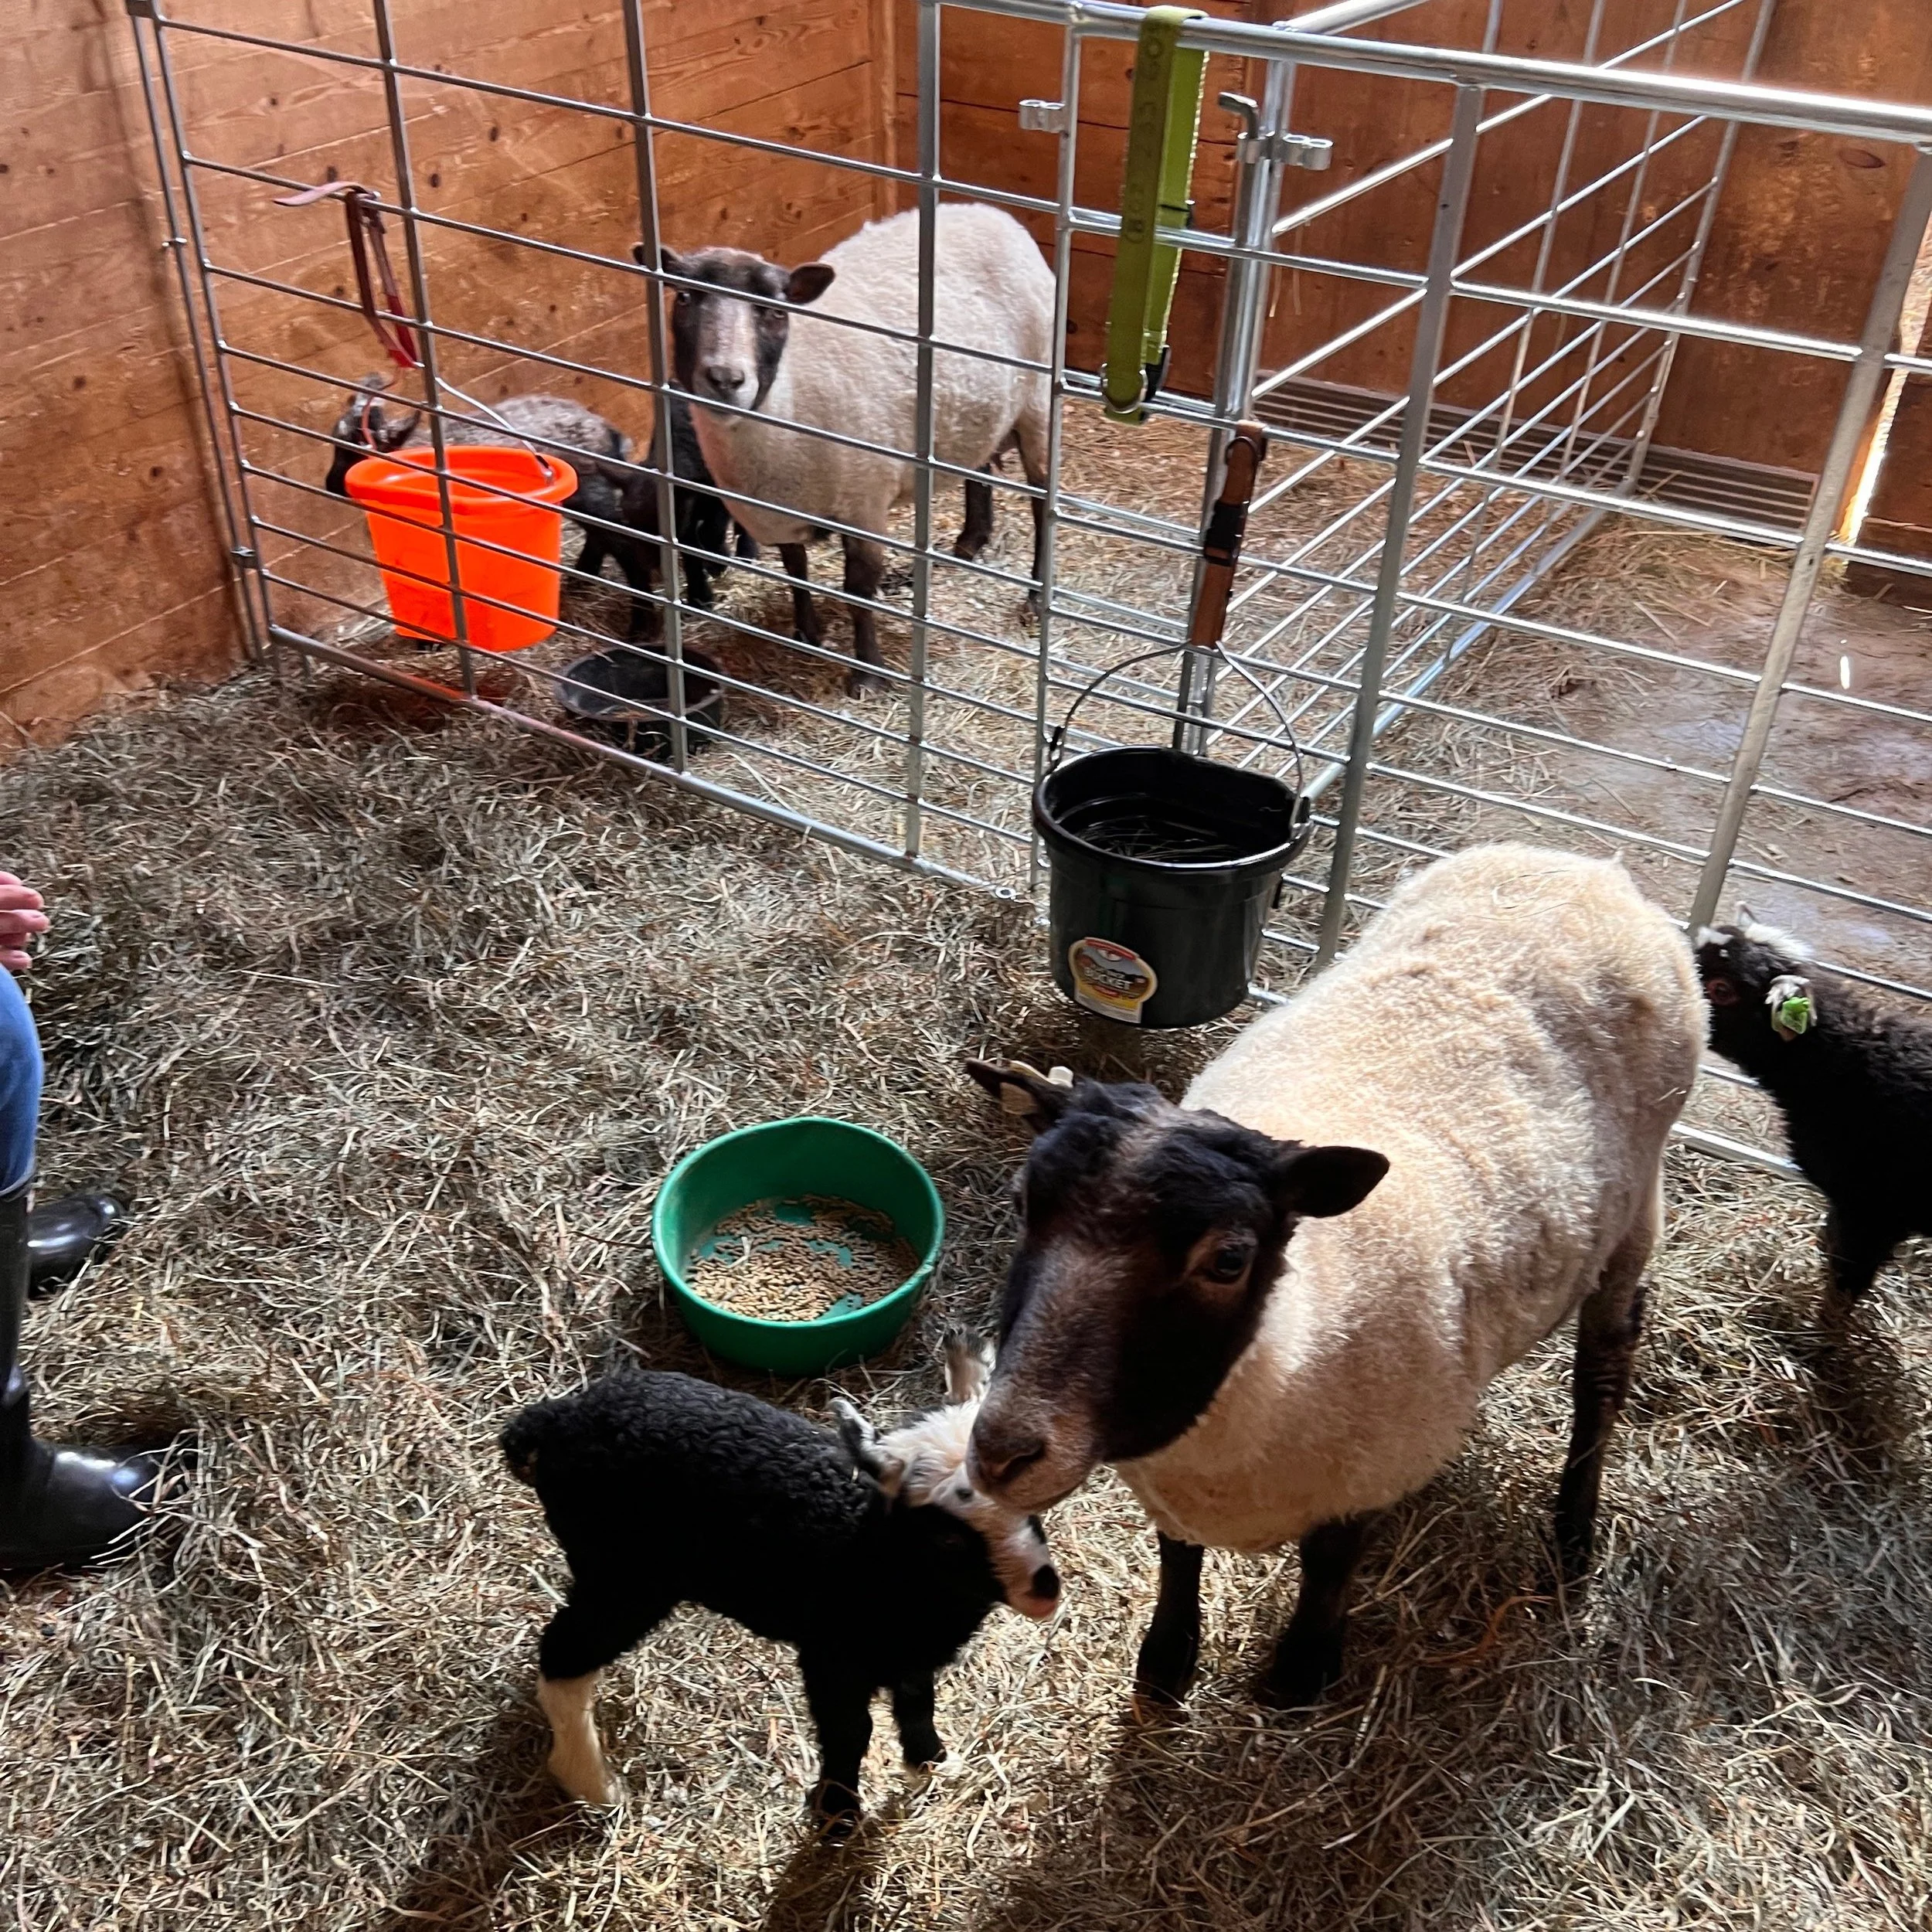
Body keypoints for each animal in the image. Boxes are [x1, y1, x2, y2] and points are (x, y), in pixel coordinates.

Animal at [500, 1332, 1058, 1833]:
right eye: (947, 1536)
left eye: (1032, 1506)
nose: (1045, 1590)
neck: (871, 1551)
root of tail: (557, 1420)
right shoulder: (832, 1656)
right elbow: (850, 1730)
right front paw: (837, 1815)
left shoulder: (911, 1654)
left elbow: (918, 1701)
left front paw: (930, 1761)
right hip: (623, 1576)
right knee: (564, 1655)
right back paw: (592, 1783)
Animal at [657, 203, 1053, 693]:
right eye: (684, 298)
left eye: (773, 311)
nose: (725, 379)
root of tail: (994, 213)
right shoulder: (784, 508)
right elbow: (796, 571)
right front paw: (806, 634)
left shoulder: (864, 504)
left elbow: (858, 592)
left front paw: (867, 674)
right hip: (976, 411)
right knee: (979, 470)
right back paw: (965, 545)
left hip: (1037, 404)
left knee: (1042, 503)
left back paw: (1034, 597)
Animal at [964, 843, 1704, 1712]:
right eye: (1023, 1203)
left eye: (1228, 1259)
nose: (1002, 1453)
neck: (1284, 1345)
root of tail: (1581, 864)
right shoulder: (1172, 1486)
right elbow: (1177, 1557)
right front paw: (1167, 1662)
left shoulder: (1365, 1476)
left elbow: (1329, 1568)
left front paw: (1299, 1675)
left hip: (1637, 1209)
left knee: (1604, 1367)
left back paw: (1575, 1530)